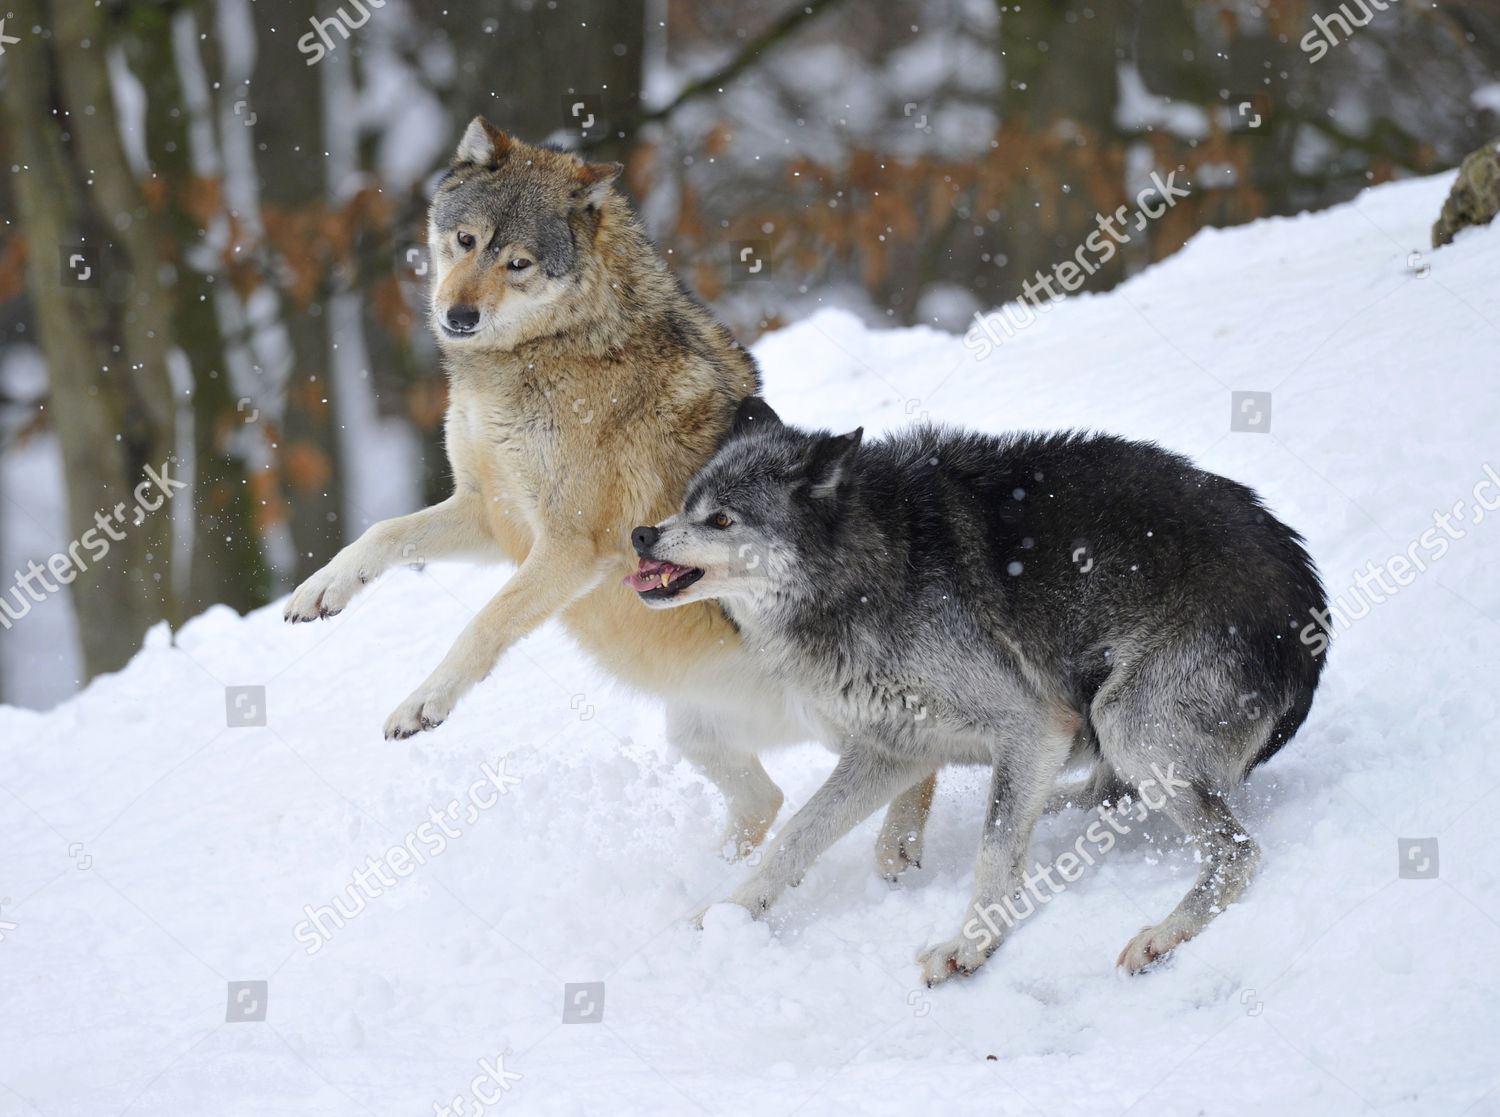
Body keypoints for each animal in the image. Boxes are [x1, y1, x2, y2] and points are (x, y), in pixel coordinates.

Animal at [282, 119, 935, 869]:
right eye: (468, 240)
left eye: (520, 263)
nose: (460, 315)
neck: (542, 351)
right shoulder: (488, 513)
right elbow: (383, 533)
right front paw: (320, 591)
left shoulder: (571, 546)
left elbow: (484, 623)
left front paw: (424, 703)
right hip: (695, 732)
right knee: (764, 800)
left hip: (844, 730)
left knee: (918, 771)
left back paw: (895, 862)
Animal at [629, 398, 1327, 984]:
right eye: (687, 503)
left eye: (722, 519)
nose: (640, 535)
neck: (871, 569)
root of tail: (1311, 600)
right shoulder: (893, 750)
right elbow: (796, 835)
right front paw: (728, 913)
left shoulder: (1033, 725)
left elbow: (993, 851)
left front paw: (973, 943)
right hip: (1111, 728)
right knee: (1098, 797)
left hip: (1124, 720)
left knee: (1235, 853)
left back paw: (1161, 935)